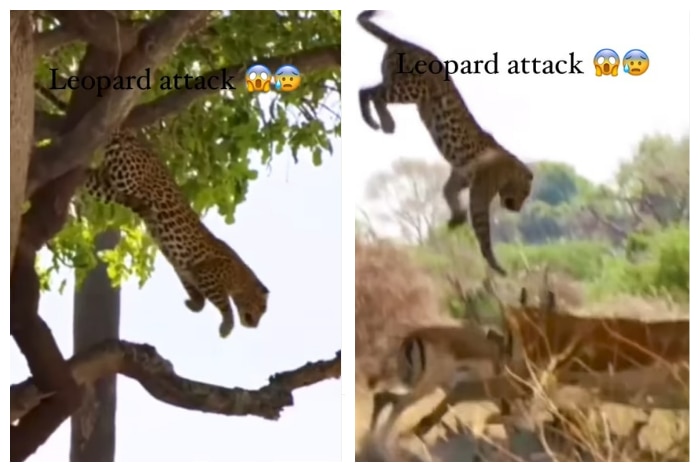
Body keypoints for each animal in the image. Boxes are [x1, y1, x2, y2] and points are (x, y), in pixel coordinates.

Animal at [83, 129, 269, 338]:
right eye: (263, 308)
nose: (256, 326)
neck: (241, 277)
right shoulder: (210, 276)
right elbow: (223, 303)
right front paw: (227, 325)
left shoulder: (186, 273)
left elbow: (199, 299)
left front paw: (192, 305)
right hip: (127, 176)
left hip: (107, 188)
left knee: (92, 180)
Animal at [357, 10, 533, 275]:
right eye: (525, 192)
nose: (518, 208)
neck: (510, 169)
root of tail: (405, 42)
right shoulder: (480, 192)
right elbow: (482, 229)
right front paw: (495, 265)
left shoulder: (459, 176)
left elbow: (448, 193)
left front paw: (456, 219)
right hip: (411, 89)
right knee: (370, 93)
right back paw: (384, 123)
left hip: (396, 82)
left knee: (370, 89)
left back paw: (380, 122)